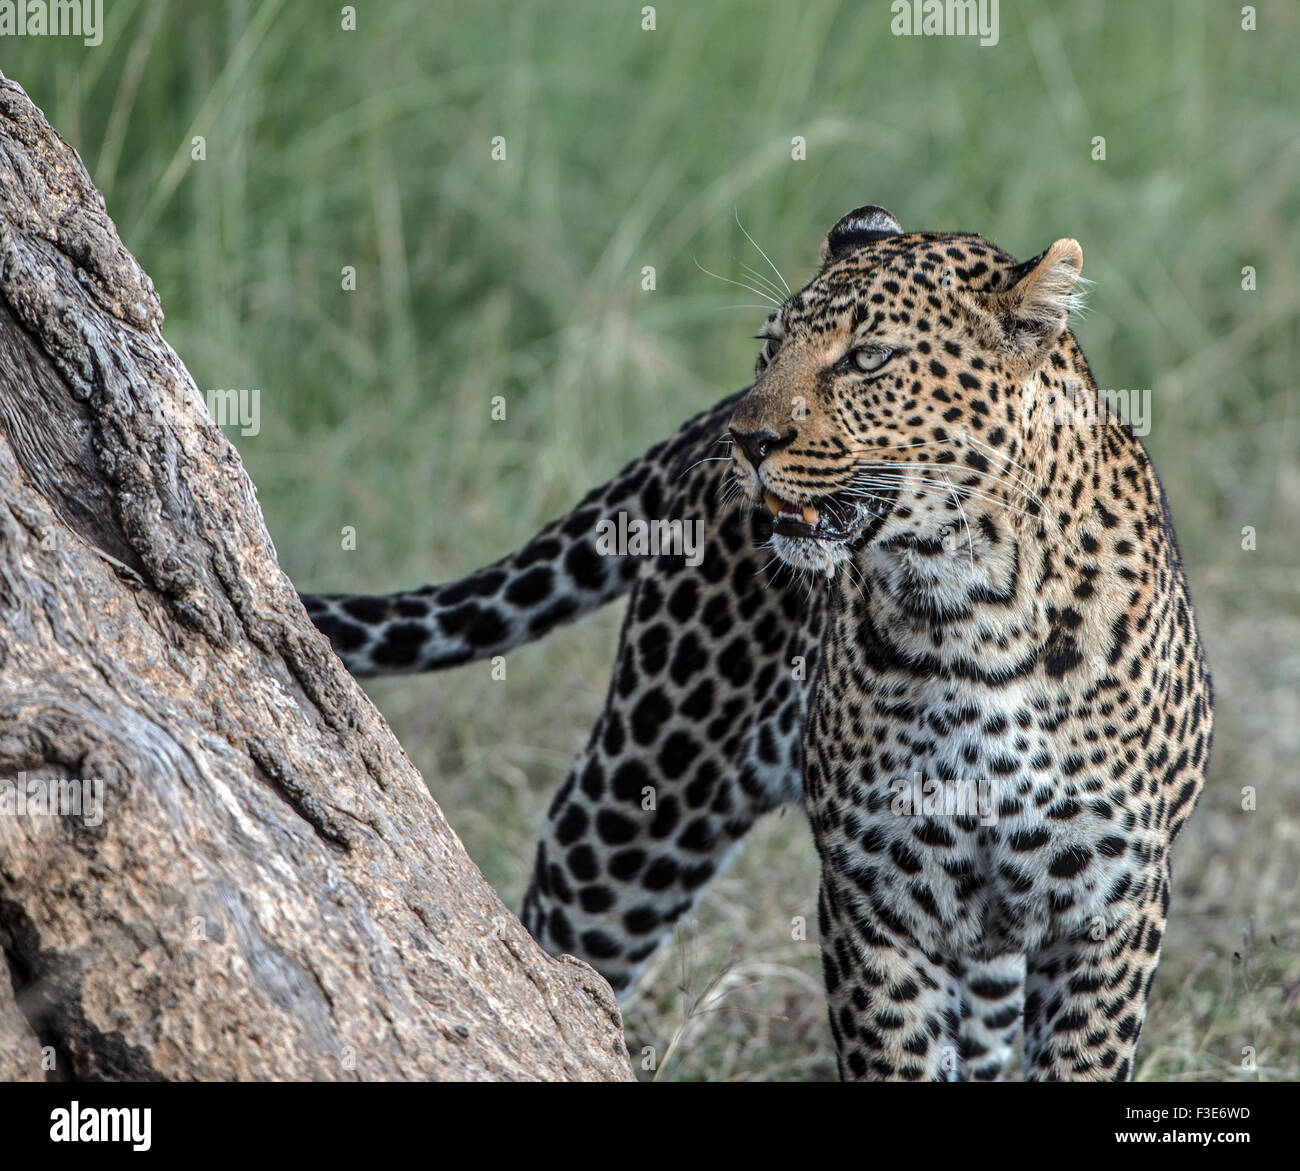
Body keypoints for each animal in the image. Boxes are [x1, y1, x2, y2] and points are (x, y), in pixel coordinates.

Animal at [302, 205, 1213, 1081]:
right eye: (769, 347)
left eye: (868, 358)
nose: (749, 441)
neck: (973, 607)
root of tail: (701, 419)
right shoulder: (873, 890)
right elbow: (891, 1053)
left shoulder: (1110, 902)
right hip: (651, 789)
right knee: (559, 931)